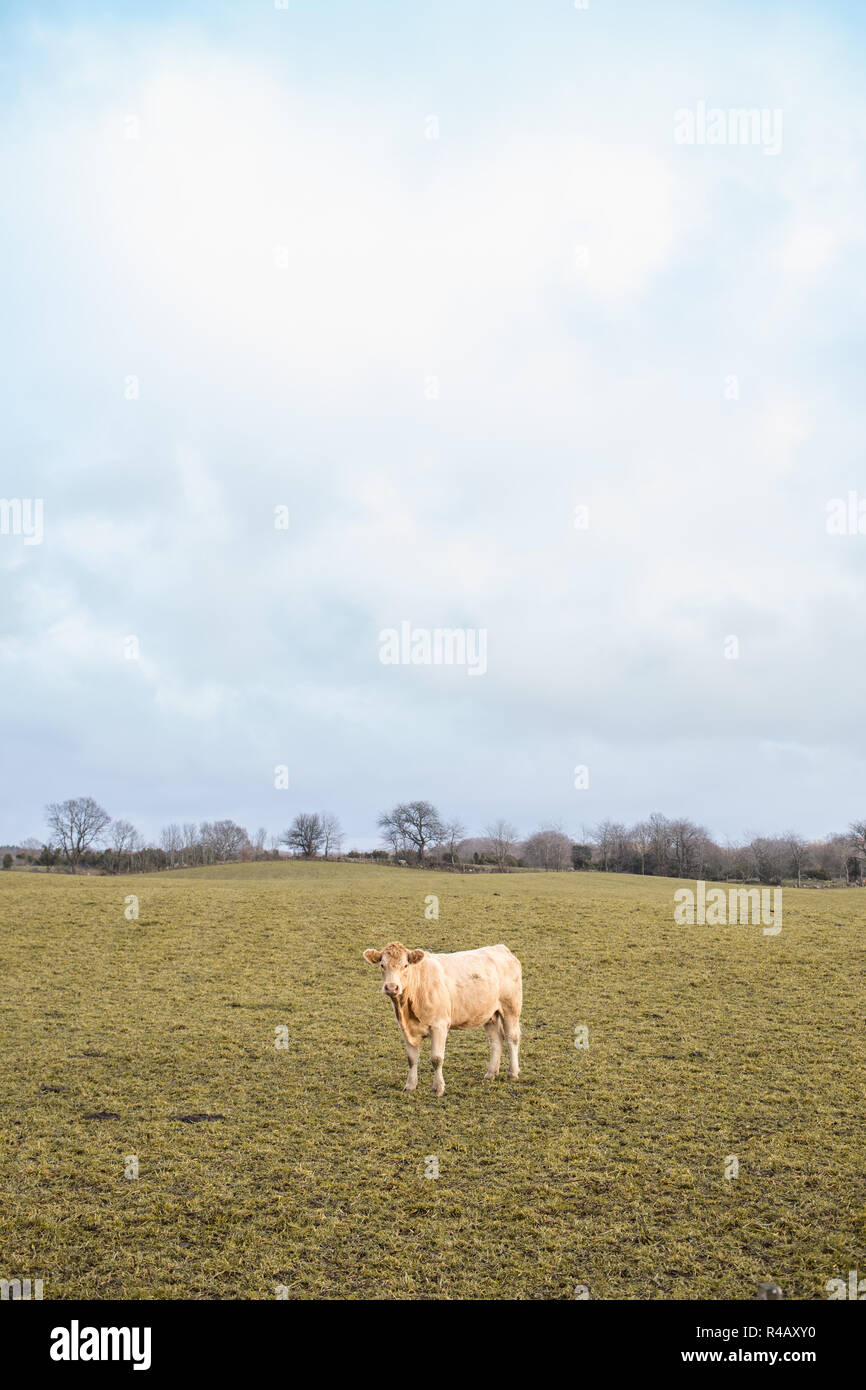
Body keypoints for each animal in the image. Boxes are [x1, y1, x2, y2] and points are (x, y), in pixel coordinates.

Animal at [362, 941, 522, 1096]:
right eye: (382, 965)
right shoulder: (406, 1029)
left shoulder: (439, 1026)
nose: (391, 987)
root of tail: (500, 948)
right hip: (489, 1014)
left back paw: (512, 1074)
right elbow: (412, 1059)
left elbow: (436, 1058)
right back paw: (490, 1074)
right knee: (496, 1041)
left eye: (405, 965)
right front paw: (410, 1086)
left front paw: (438, 1088)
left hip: (511, 1007)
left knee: (512, 1037)